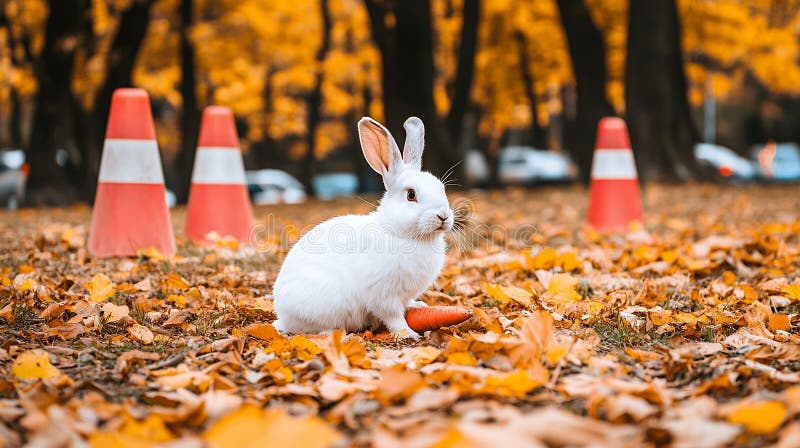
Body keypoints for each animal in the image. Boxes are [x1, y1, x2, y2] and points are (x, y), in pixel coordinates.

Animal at [272, 116, 454, 339]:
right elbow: (393, 316)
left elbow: (407, 304)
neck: (400, 233)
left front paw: (418, 306)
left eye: (442, 188)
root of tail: (282, 314)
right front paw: (407, 333)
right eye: (411, 194)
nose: (443, 216)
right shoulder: (383, 295)